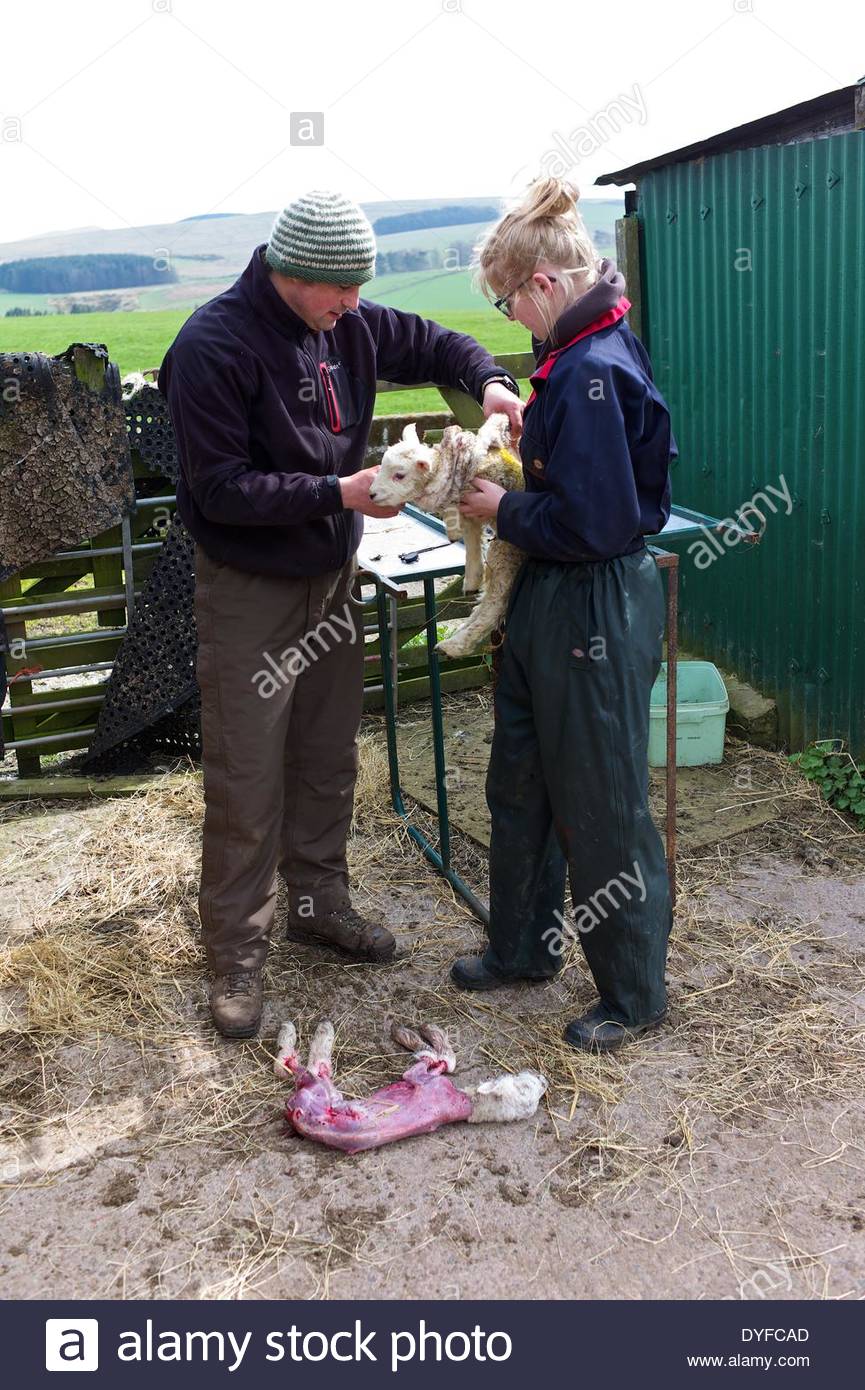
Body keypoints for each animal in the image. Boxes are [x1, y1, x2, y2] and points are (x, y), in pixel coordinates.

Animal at [369, 413, 526, 659]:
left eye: (399, 475)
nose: (371, 494)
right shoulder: (470, 511)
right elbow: (471, 540)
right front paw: (472, 577)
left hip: (508, 549)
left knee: (496, 600)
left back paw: (453, 645)